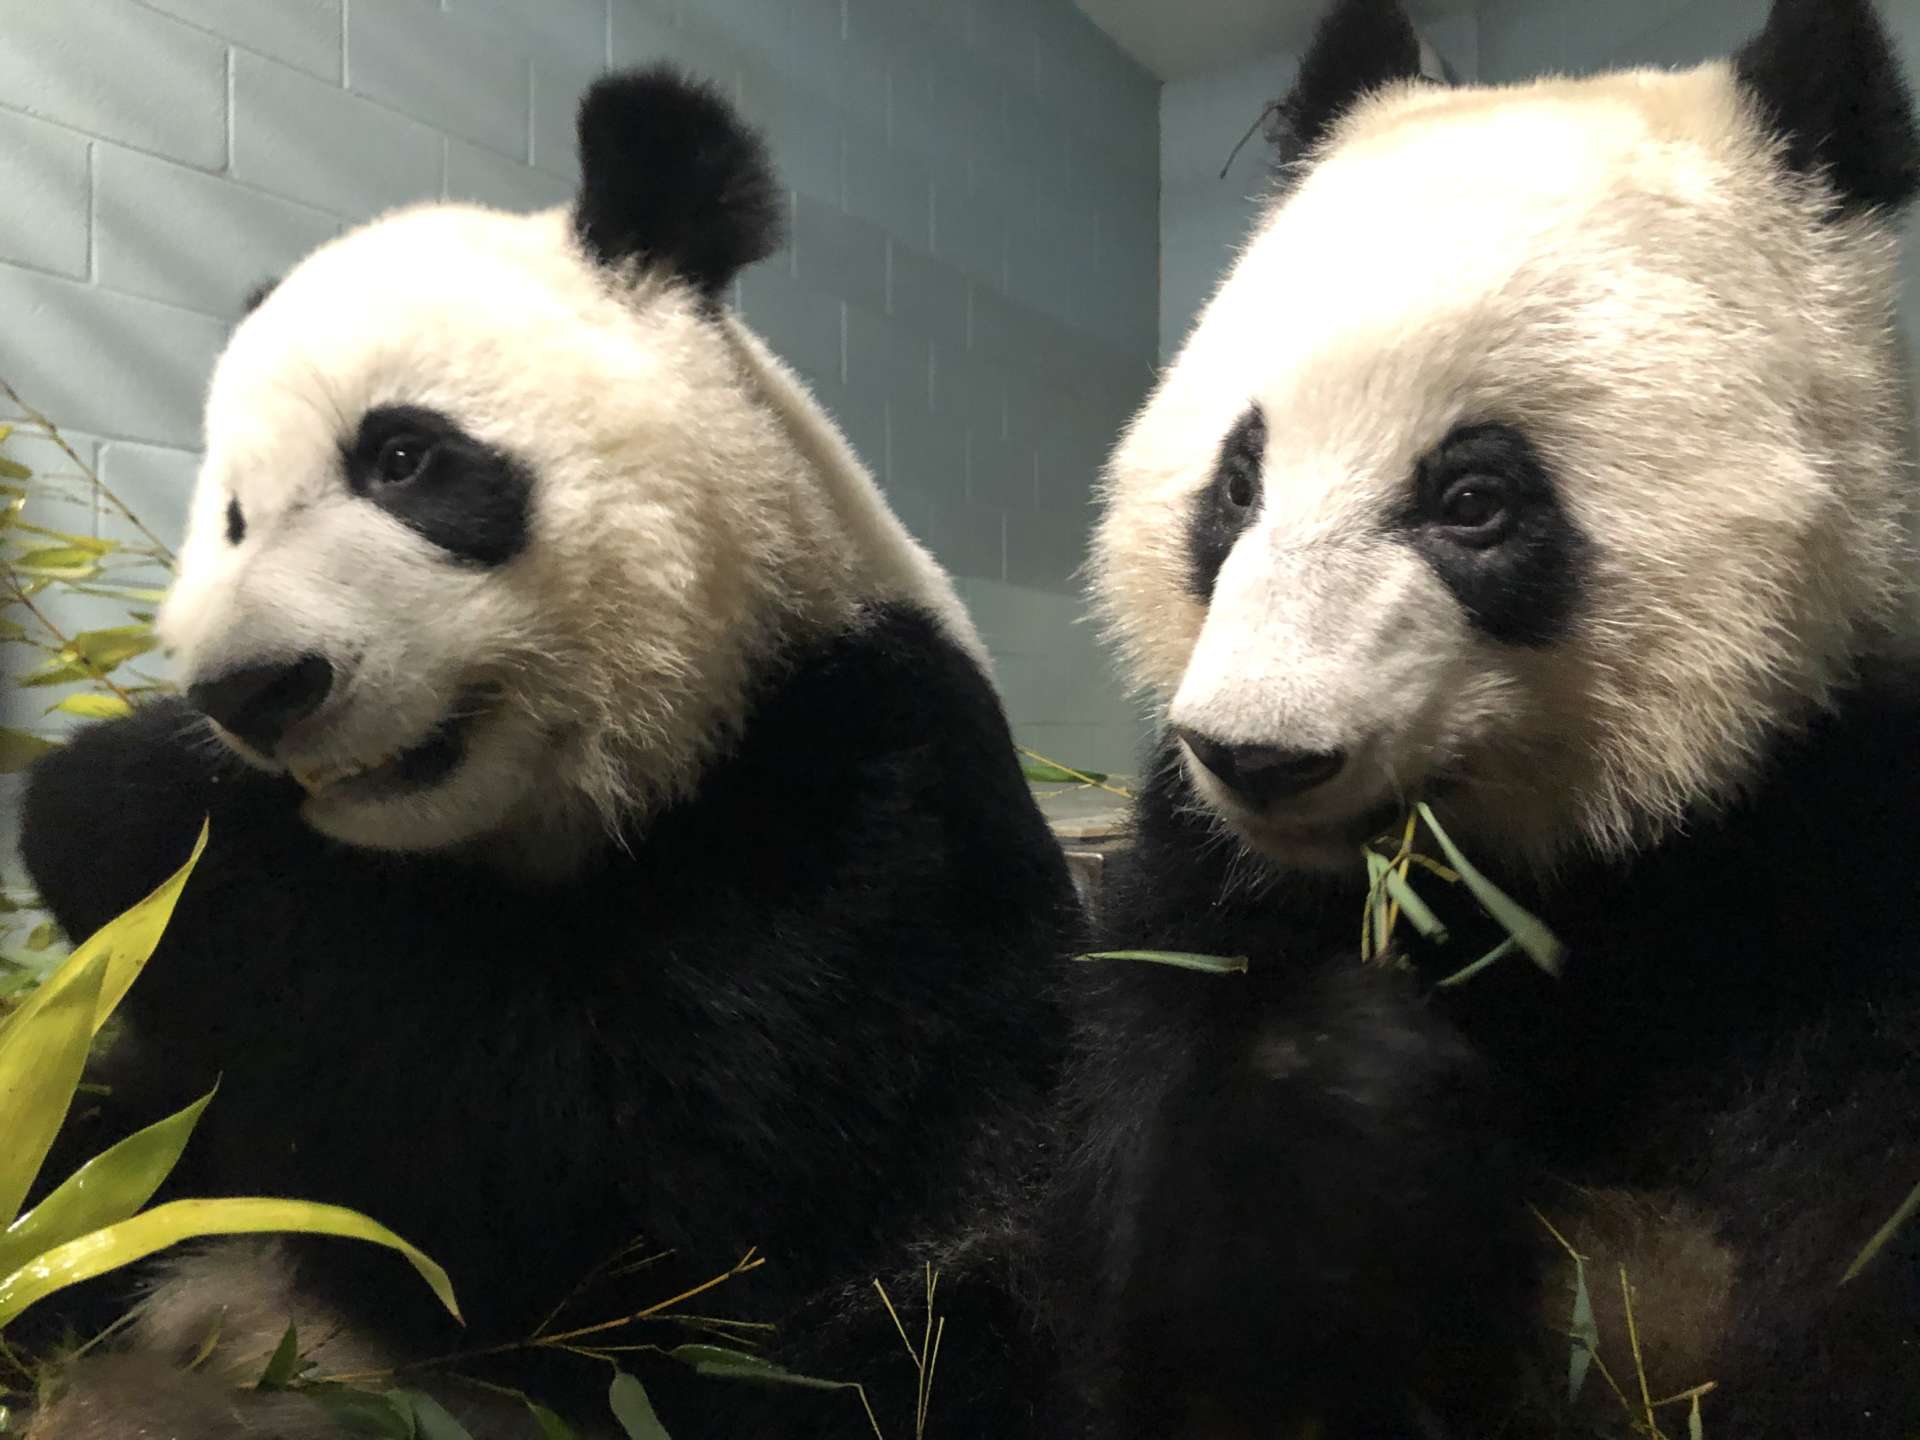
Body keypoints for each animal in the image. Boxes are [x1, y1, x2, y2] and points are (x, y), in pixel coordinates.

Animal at [18, 69, 1078, 1439]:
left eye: (403, 458)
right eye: (235, 519)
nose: (255, 688)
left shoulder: (864, 801)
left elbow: (640, 1213)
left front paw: (121, 793)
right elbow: (132, 1137)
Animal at [1046, 1, 1920, 1436]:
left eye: (1473, 500)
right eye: (1238, 481)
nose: (1259, 757)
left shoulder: (1840, 827)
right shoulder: (1200, 880)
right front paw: (1351, 1084)